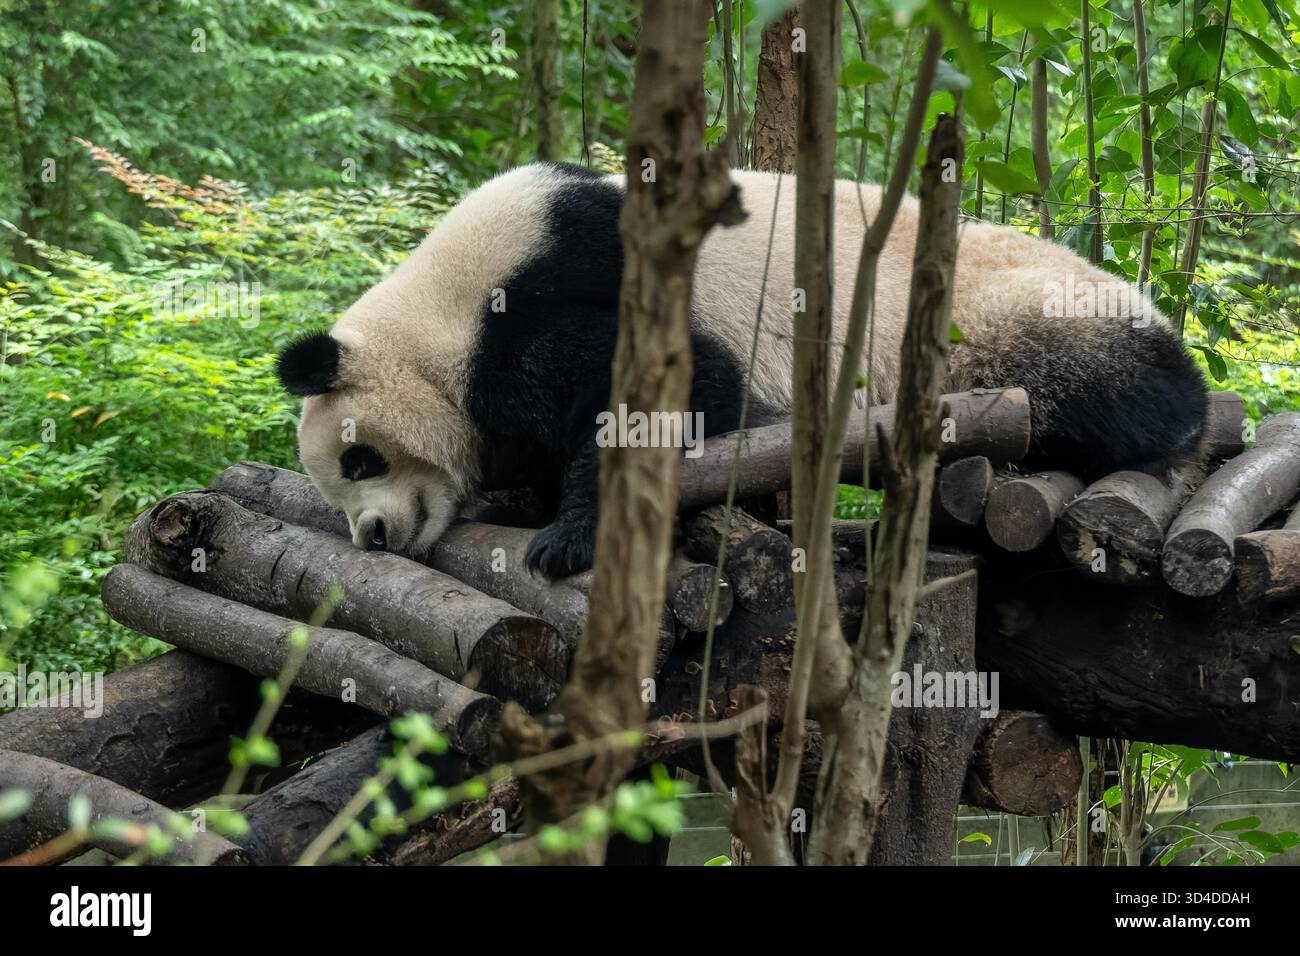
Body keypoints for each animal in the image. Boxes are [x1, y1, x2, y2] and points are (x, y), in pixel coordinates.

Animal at [277, 161, 1209, 579]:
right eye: (338, 485)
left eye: (360, 459)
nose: (373, 534)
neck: (435, 314)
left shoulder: (546, 285)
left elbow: (684, 392)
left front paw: (566, 538)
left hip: (1002, 316)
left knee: (1105, 392)